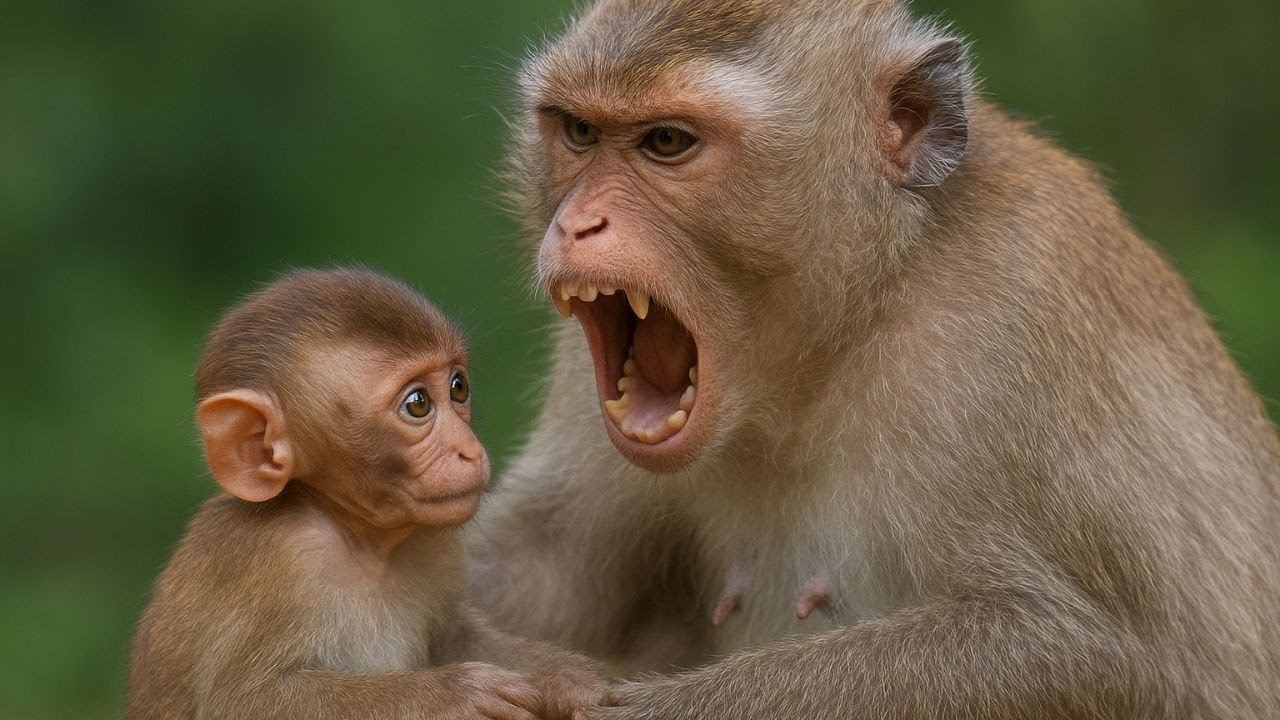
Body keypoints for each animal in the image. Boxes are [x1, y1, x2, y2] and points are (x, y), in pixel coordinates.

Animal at [127, 268, 606, 720]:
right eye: (417, 403)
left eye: (458, 387)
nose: (469, 450)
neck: (359, 540)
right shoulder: (276, 559)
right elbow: (242, 702)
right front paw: (455, 694)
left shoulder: (432, 546)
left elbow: (455, 637)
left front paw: (568, 681)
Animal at [469, 1, 1280, 718]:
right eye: (579, 131)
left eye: (666, 142)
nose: (577, 224)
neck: (854, 314)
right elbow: (552, 569)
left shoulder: (1016, 308)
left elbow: (1090, 651)